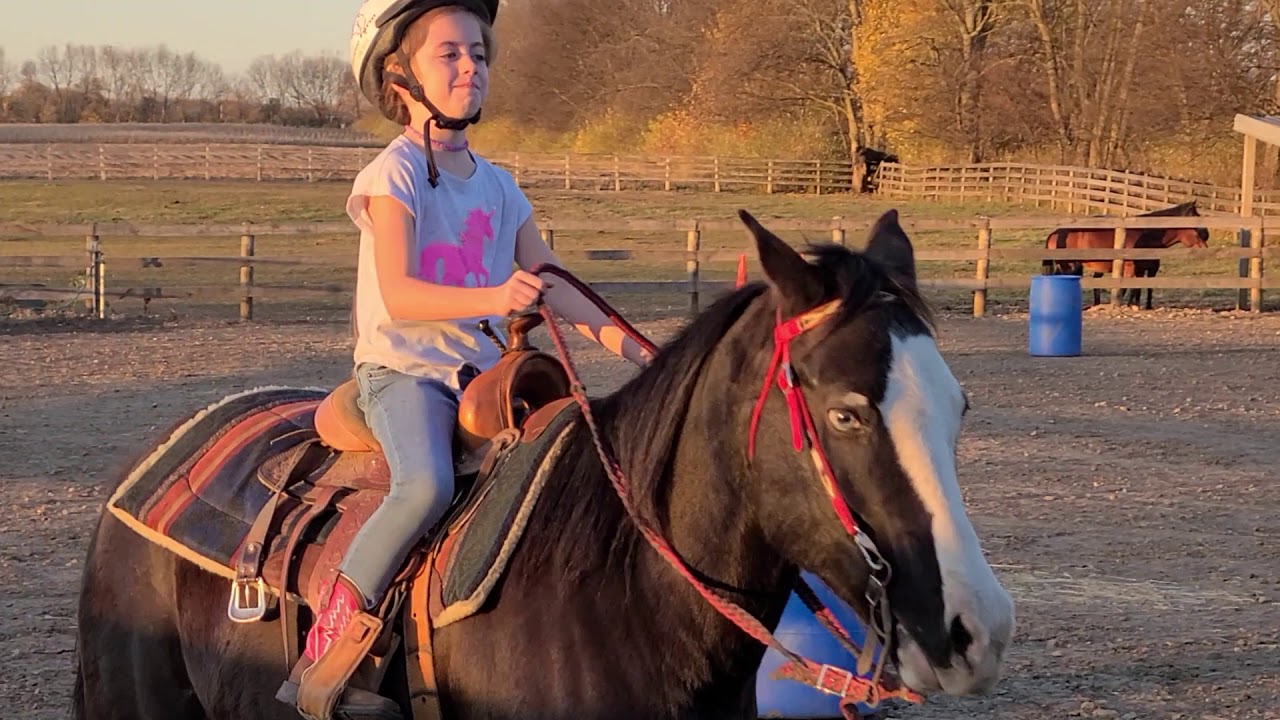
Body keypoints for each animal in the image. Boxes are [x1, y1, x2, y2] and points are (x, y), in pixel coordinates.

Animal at [1042, 201, 1209, 308]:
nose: (1206, 236)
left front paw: (1138, 306)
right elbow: (1127, 289)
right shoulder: (1131, 268)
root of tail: (1056, 232)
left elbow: (1142, 289)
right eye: (1196, 220)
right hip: (1069, 266)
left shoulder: (1148, 270)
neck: (1146, 234)